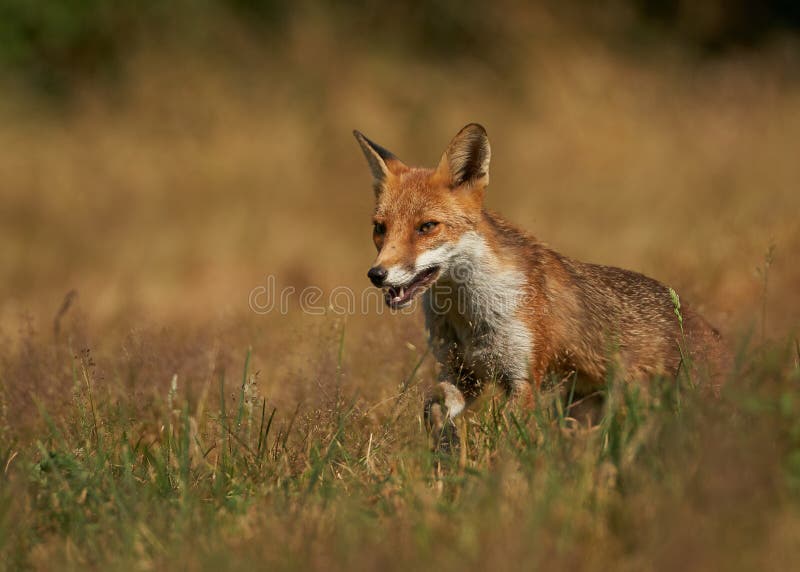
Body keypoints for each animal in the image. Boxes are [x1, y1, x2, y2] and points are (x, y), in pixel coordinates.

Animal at [354, 123, 729, 442]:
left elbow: (506, 440)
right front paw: (445, 447)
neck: (470, 316)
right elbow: (433, 406)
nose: (377, 274)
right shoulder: (462, 372)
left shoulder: (524, 378)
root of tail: (711, 331)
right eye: (380, 228)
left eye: (427, 227)